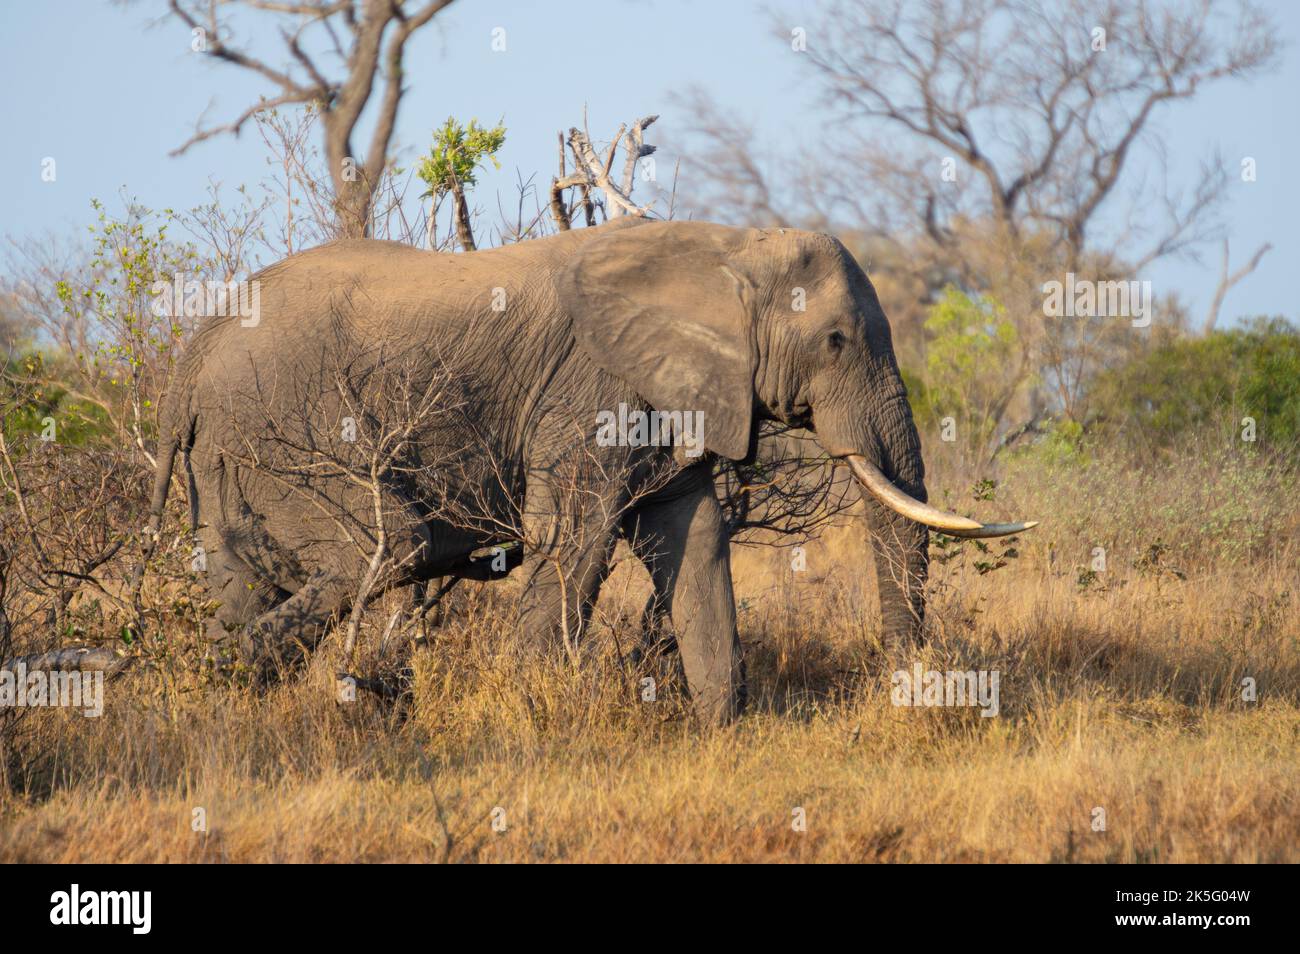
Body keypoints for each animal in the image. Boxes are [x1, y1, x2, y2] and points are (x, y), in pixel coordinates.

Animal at [143, 217, 1034, 725]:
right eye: (837, 341)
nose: (908, 693)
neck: (725, 248)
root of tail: (194, 350)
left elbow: (692, 541)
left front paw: (724, 730)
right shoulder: (592, 390)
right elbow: (576, 537)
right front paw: (525, 712)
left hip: (226, 454)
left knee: (243, 581)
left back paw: (221, 692)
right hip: (285, 427)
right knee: (391, 547)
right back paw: (234, 674)